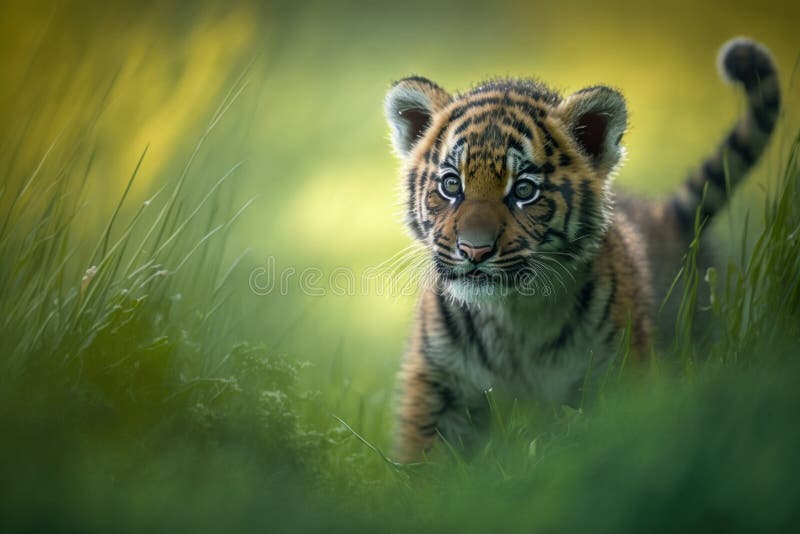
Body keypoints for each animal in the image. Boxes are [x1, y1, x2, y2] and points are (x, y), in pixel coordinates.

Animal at [384, 37, 781, 462]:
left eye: (524, 190)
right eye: (451, 184)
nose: (474, 251)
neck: (513, 316)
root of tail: (664, 214)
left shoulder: (617, 371)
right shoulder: (438, 382)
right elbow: (426, 456)